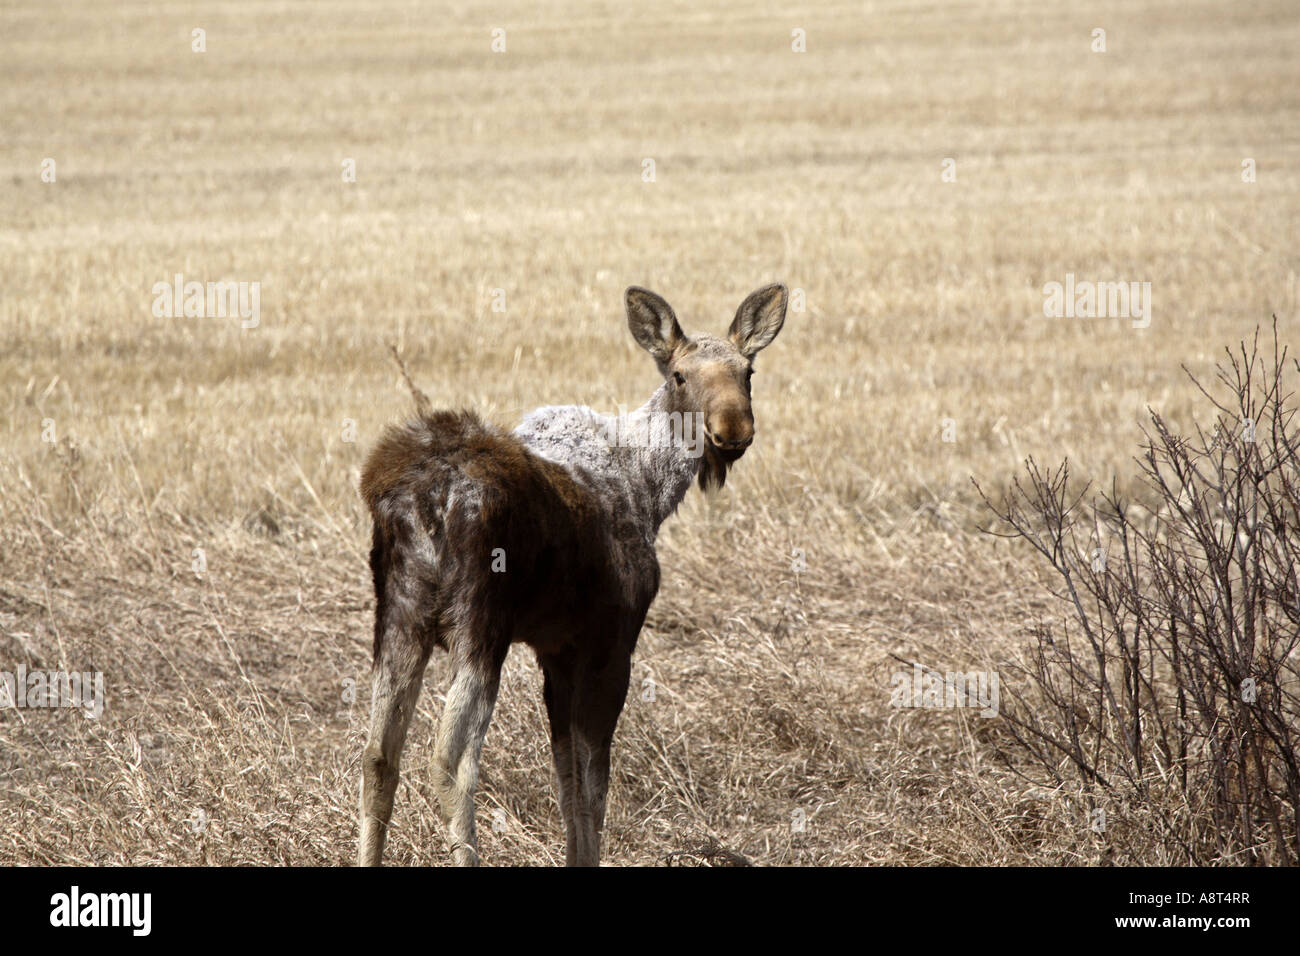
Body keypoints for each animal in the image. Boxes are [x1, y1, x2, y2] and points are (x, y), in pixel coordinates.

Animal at [357, 283, 788, 866]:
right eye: (679, 375)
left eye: (748, 371)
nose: (733, 431)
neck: (651, 492)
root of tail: (425, 496)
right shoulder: (612, 641)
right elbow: (594, 779)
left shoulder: (555, 649)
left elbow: (566, 777)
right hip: (480, 626)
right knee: (449, 762)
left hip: (399, 617)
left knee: (377, 756)